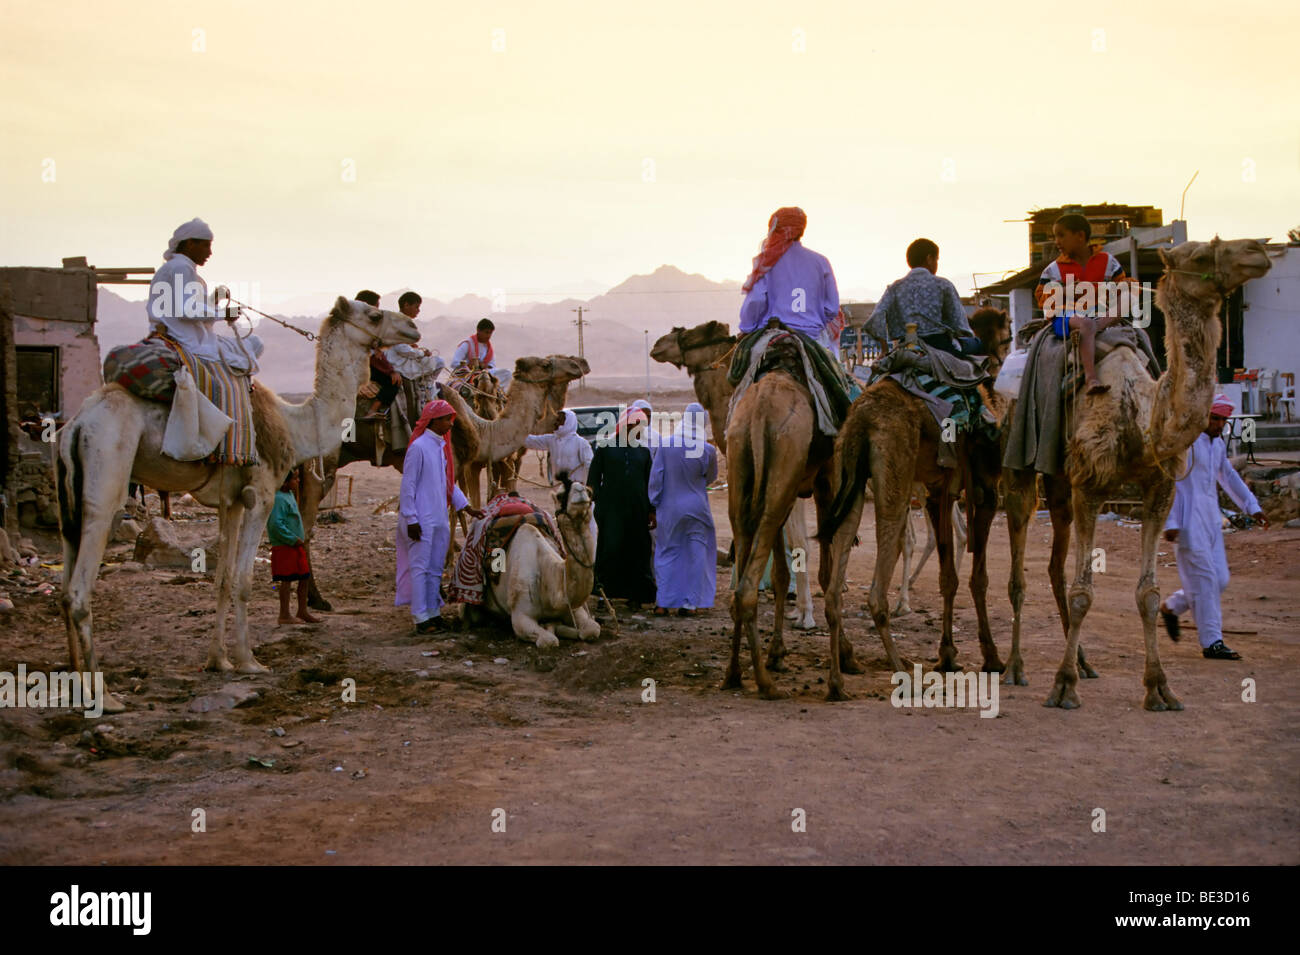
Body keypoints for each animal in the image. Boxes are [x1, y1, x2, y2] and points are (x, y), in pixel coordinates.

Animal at [57, 298, 419, 710]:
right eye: (374, 314)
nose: (412, 327)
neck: (293, 423)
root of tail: (76, 425)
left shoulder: (229, 501)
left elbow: (223, 579)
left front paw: (219, 661)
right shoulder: (260, 494)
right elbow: (245, 580)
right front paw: (249, 661)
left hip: (69, 499)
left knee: (64, 589)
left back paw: (74, 687)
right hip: (105, 478)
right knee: (80, 590)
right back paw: (103, 697)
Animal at [466, 479, 601, 647]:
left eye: (589, 491)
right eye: (560, 495)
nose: (580, 491)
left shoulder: (574, 608)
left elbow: (592, 630)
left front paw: (556, 625)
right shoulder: (521, 615)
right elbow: (549, 641)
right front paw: (551, 627)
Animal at [818, 308, 1013, 700]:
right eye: (1007, 336)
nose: (1002, 361)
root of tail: (862, 417)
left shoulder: (939, 492)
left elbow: (948, 576)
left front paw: (948, 654)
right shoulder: (984, 489)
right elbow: (978, 577)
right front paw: (991, 656)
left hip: (850, 477)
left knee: (834, 589)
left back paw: (837, 682)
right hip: (894, 473)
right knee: (877, 591)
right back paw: (902, 672)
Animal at [1000, 238, 1272, 710]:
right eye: (1199, 256)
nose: (1257, 249)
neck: (1141, 420)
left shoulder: (1159, 489)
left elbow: (1147, 593)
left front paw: (1159, 688)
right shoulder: (1090, 487)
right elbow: (1084, 592)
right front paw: (1063, 686)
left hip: (1059, 483)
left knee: (1055, 564)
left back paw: (1086, 664)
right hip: (1021, 460)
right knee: (1020, 563)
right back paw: (1015, 668)